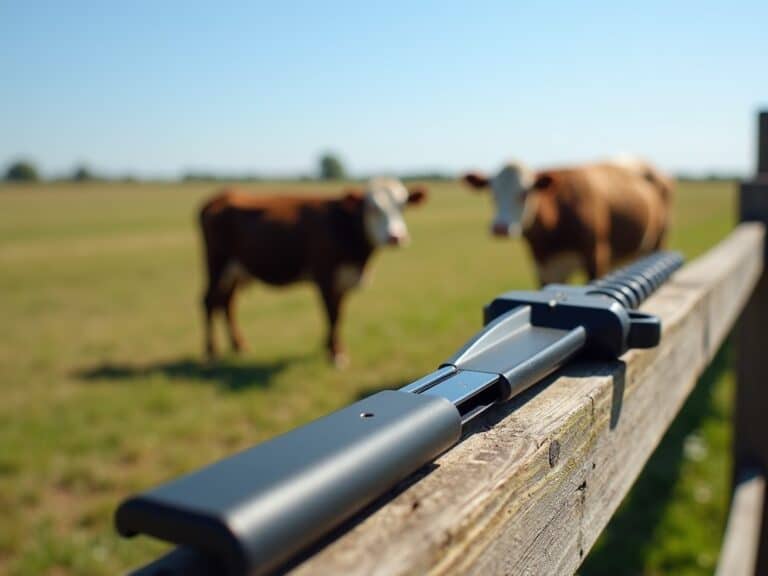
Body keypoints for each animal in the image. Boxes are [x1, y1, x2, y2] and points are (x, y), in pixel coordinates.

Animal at [199, 178, 428, 366]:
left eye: (403, 206)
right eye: (372, 208)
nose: (396, 237)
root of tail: (219, 197)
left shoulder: (344, 279)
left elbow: (340, 313)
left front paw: (329, 346)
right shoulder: (324, 276)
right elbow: (332, 314)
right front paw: (336, 354)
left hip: (235, 270)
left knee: (227, 304)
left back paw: (239, 346)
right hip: (216, 263)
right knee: (209, 301)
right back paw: (211, 353)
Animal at [463, 158, 673, 285]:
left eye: (525, 193)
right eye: (492, 194)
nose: (500, 228)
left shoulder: (596, 257)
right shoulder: (544, 269)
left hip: (658, 240)